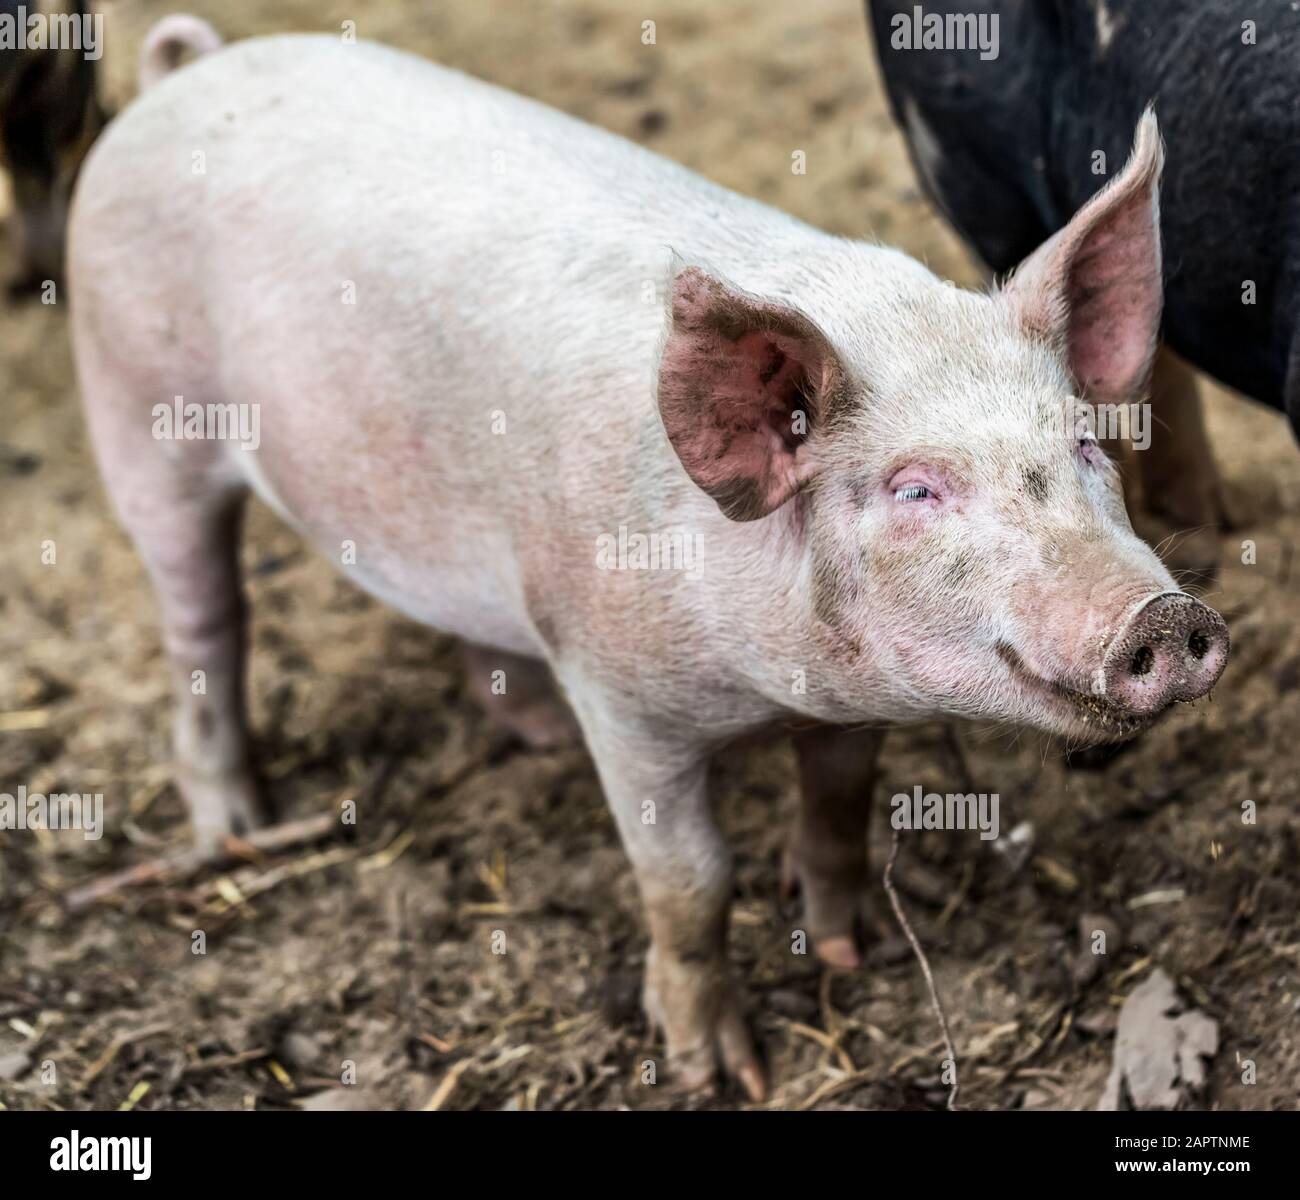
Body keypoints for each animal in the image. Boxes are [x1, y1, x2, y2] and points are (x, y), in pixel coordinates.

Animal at [68, 23, 1228, 1100]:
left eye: (1085, 445)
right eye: (915, 489)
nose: (1165, 617)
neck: (773, 685)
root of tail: (187, 70)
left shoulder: (849, 703)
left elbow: (840, 808)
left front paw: (856, 951)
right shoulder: (621, 696)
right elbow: (689, 883)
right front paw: (721, 1074)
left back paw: (531, 731)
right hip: (139, 413)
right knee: (203, 618)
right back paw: (241, 825)